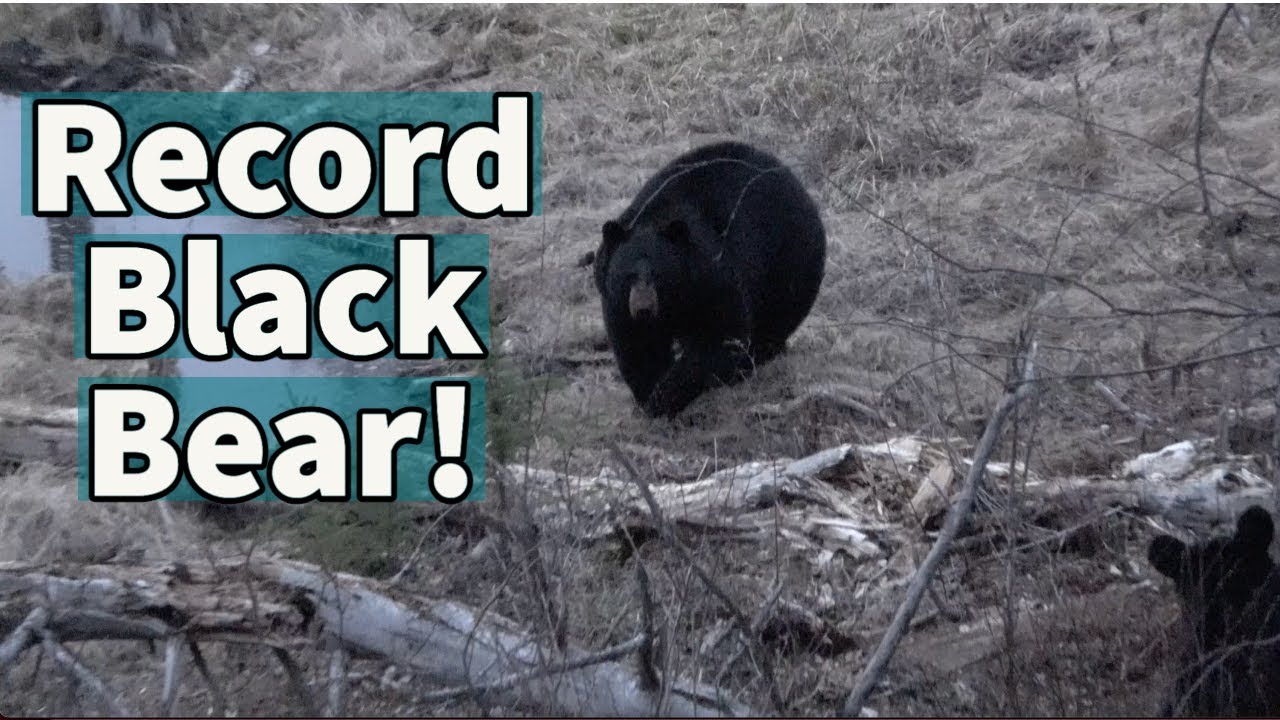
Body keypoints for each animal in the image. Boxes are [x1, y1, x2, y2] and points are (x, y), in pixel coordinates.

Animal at [592, 141, 826, 418]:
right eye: (627, 275)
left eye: (658, 275)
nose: (643, 309)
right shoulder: (618, 302)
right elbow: (638, 346)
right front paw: (650, 396)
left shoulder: (714, 279)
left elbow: (720, 337)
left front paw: (666, 395)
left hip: (787, 257)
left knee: (775, 317)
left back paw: (752, 361)